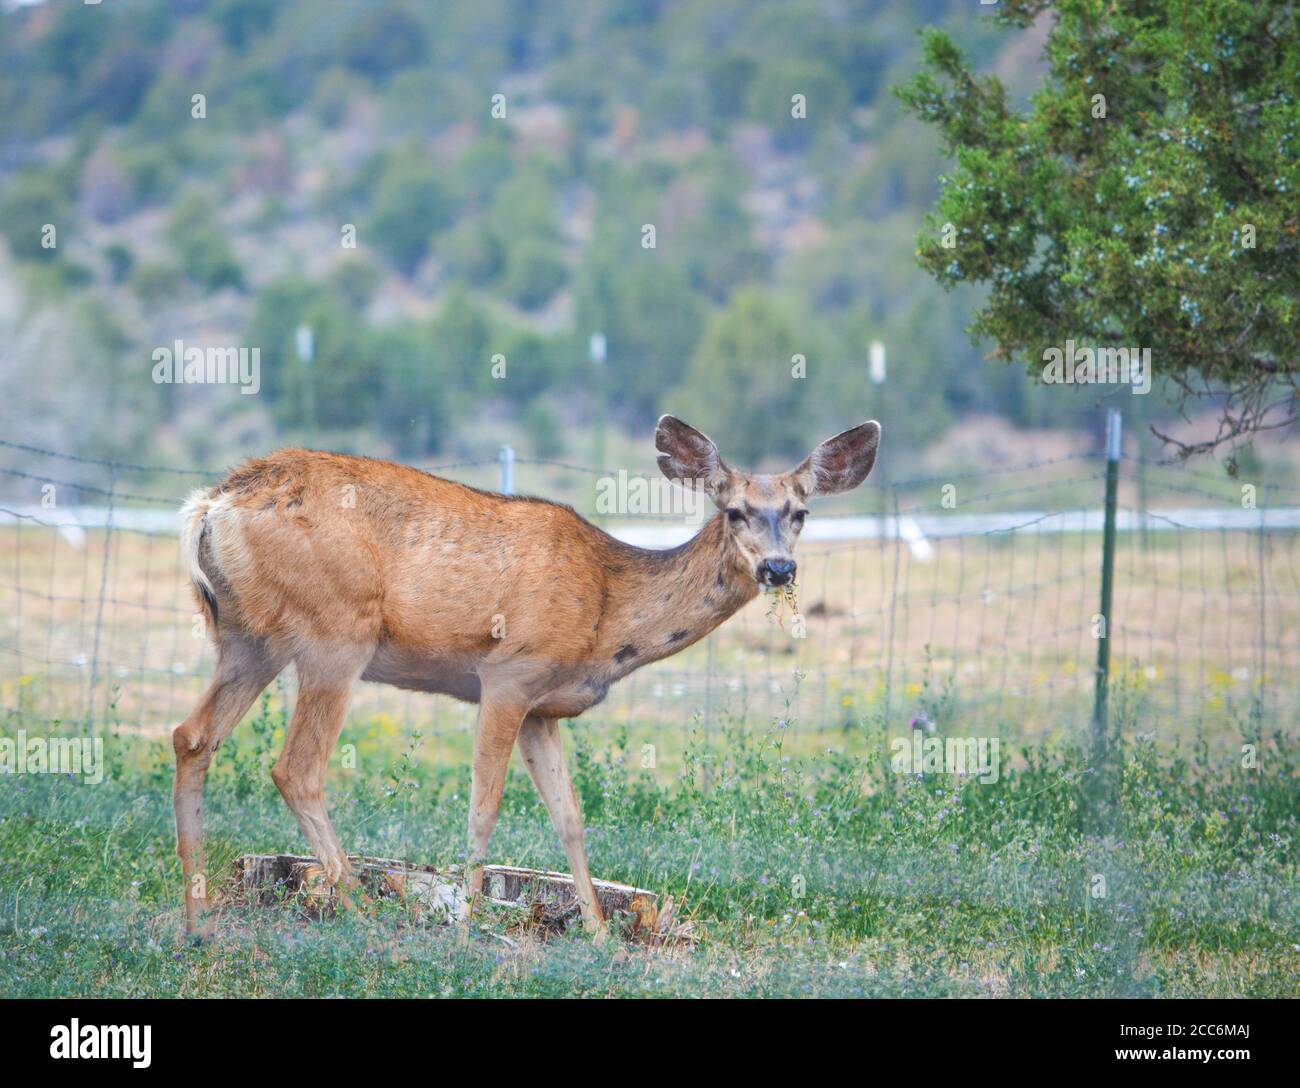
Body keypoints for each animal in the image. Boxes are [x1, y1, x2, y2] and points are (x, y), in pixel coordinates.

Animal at [172, 415, 880, 937]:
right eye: (734, 510)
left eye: (800, 512)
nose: (779, 570)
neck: (606, 609)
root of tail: (212, 503)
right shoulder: (509, 675)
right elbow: (483, 807)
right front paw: (467, 926)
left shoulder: (545, 707)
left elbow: (570, 816)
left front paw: (599, 933)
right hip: (336, 632)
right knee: (296, 766)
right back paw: (360, 910)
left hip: (248, 639)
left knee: (192, 736)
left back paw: (198, 916)